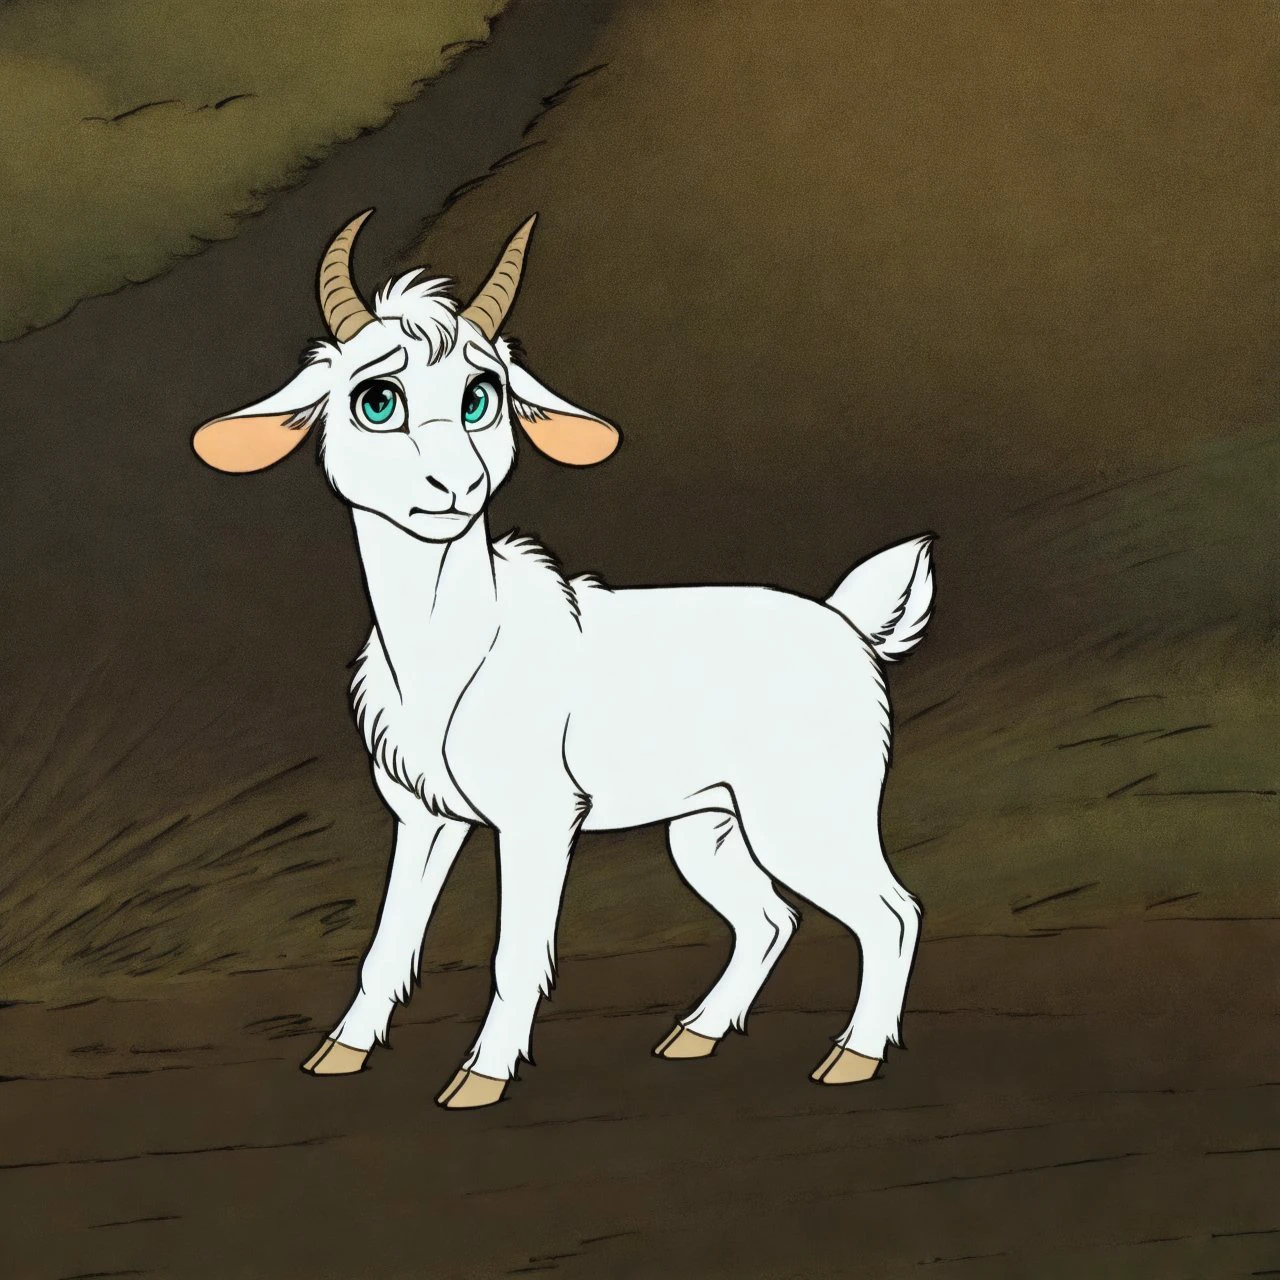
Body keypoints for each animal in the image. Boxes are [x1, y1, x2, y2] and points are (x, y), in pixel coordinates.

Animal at [193, 211, 936, 1109]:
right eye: (376, 399)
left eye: (481, 396)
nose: (457, 486)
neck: (450, 658)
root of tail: (849, 626)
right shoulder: (425, 817)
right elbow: (387, 945)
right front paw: (339, 1053)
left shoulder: (539, 820)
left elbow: (516, 955)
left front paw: (478, 1079)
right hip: (709, 827)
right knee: (770, 918)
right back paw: (693, 1036)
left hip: (806, 815)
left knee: (891, 912)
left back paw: (852, 1058)